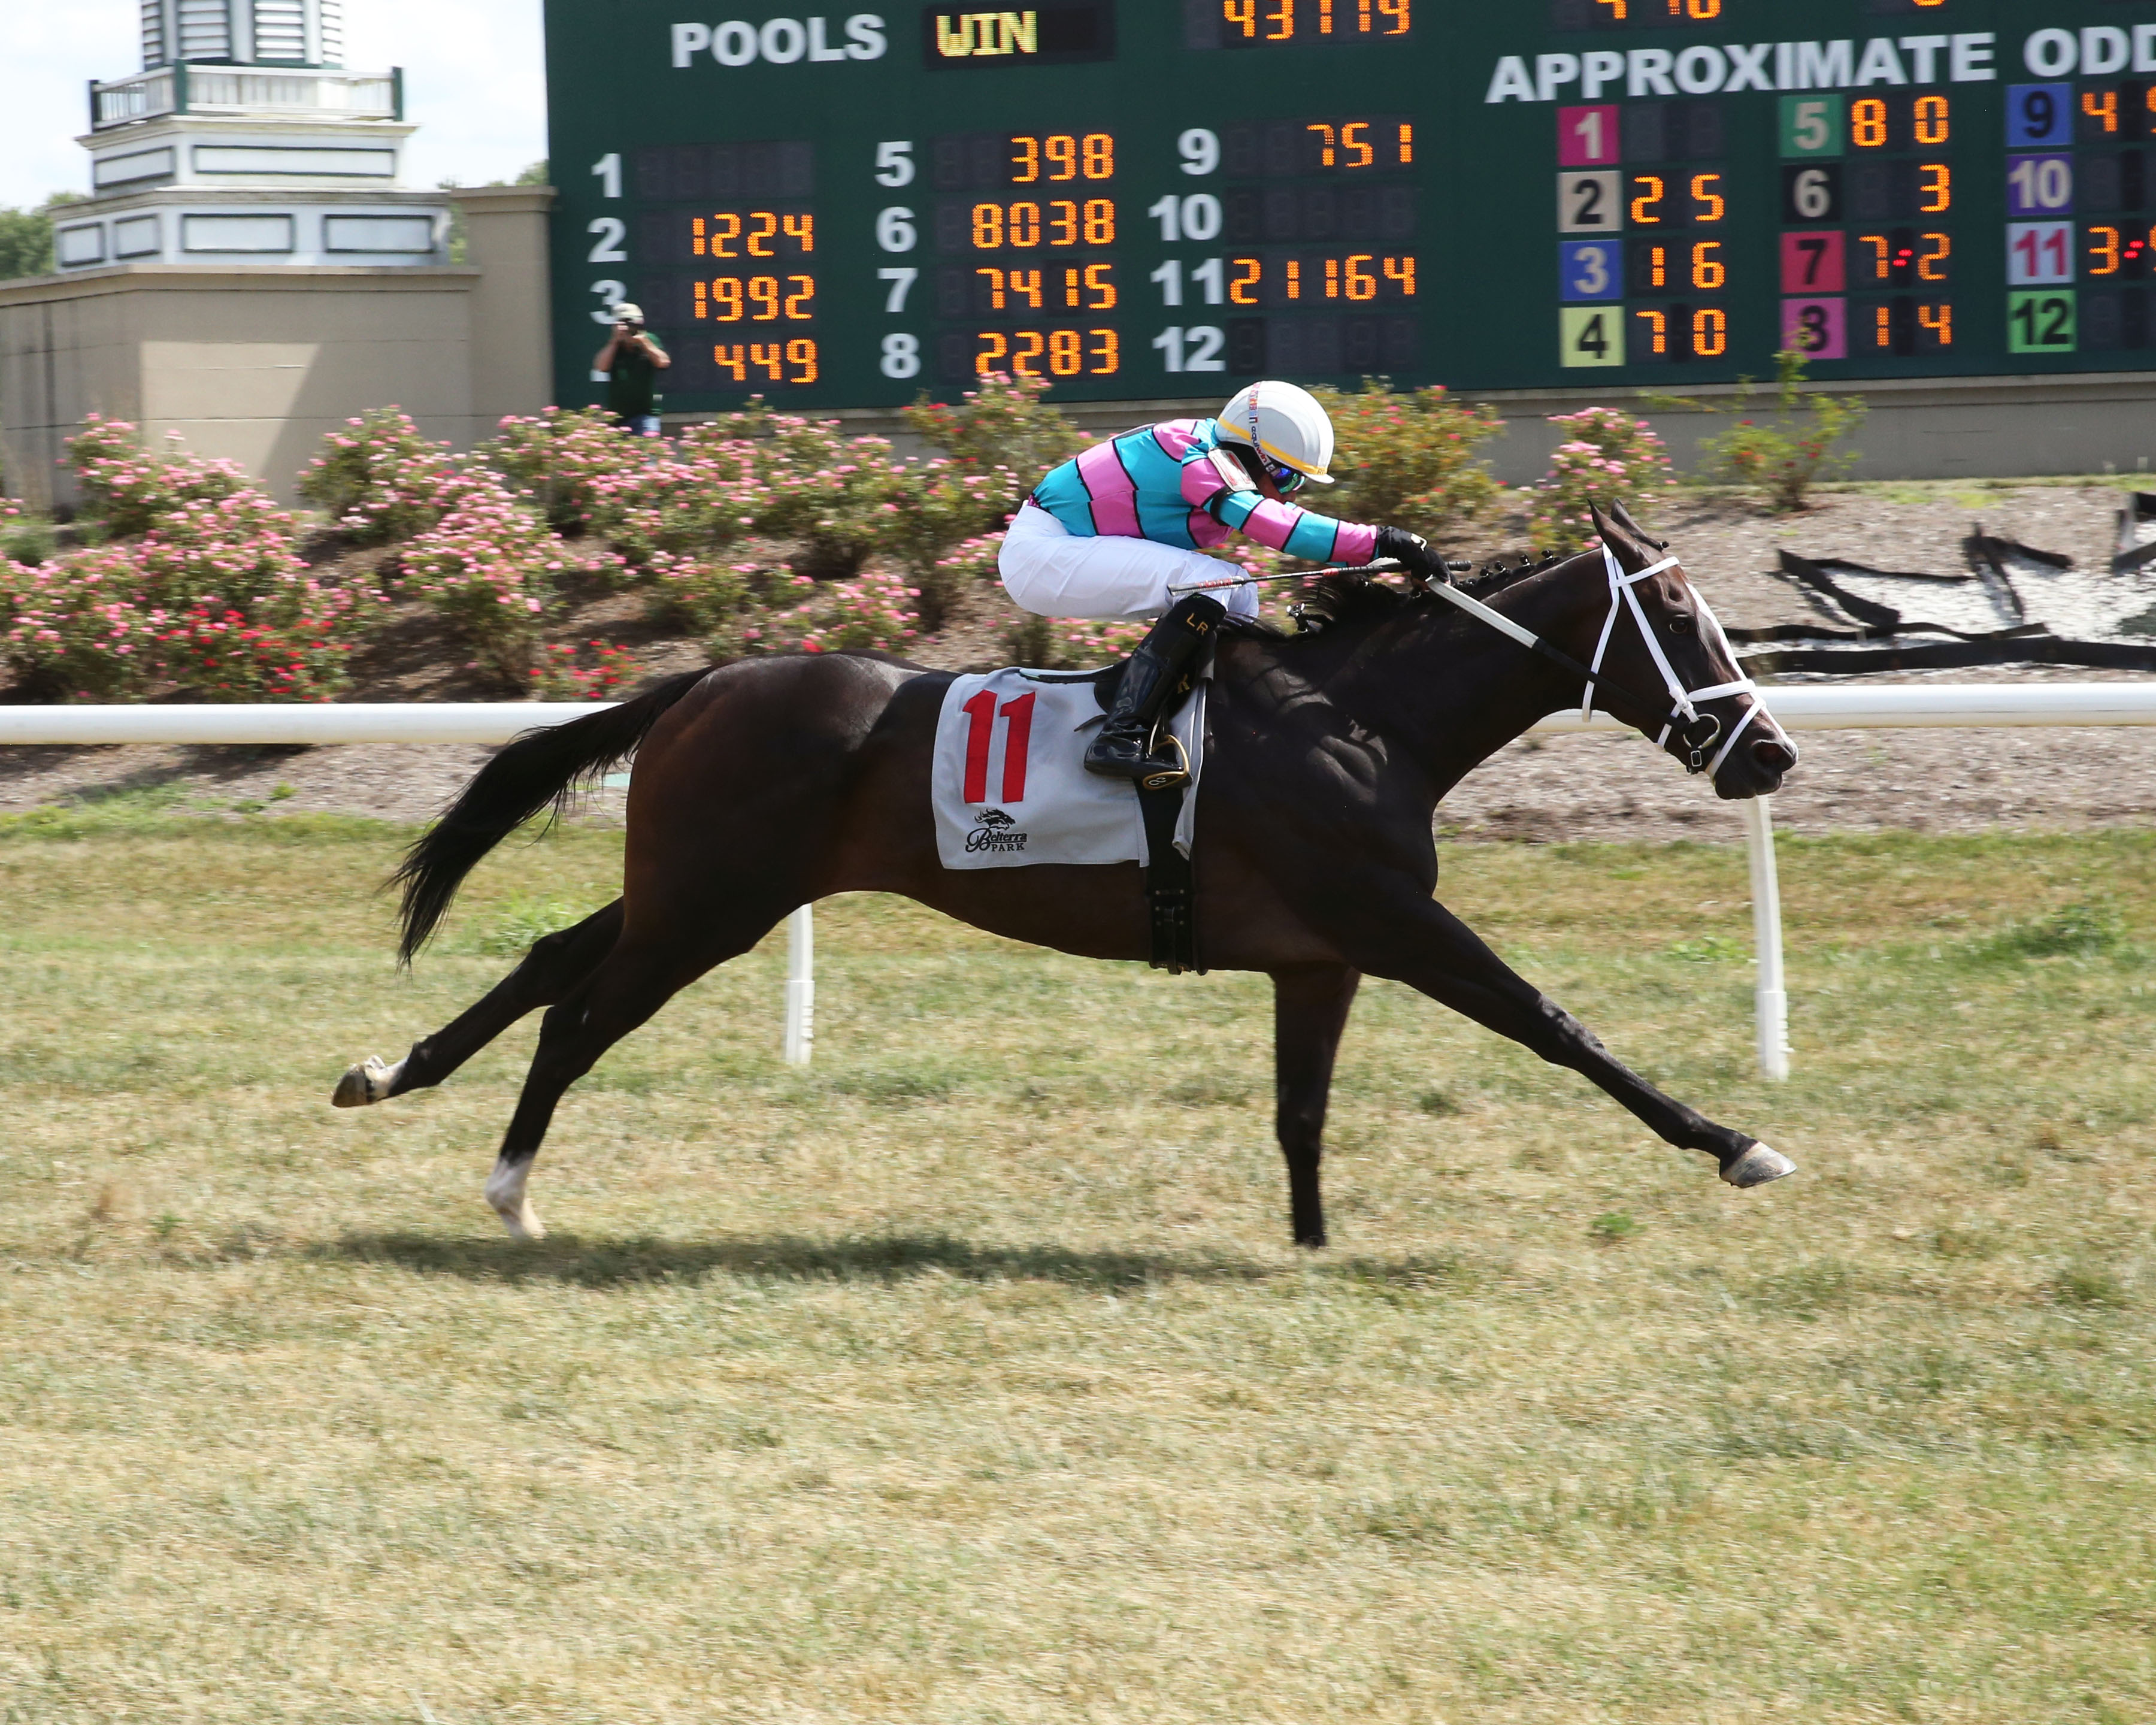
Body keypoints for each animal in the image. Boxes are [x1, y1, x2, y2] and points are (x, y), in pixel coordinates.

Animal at [334, 502, 1801, 1248]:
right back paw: (512, 1188)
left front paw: (1311, 1245)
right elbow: (1559, 1026)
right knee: (582, 1015)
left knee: (551, 961)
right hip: (710, 909)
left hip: (701, 890)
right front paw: (1740, 1145)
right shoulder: (1394, 919)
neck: (1362, 720)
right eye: (1680, 616)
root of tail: (704, 681)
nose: (1770, 752)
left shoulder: (1323, 953)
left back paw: (390, 1072)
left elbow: (1302, 1113)